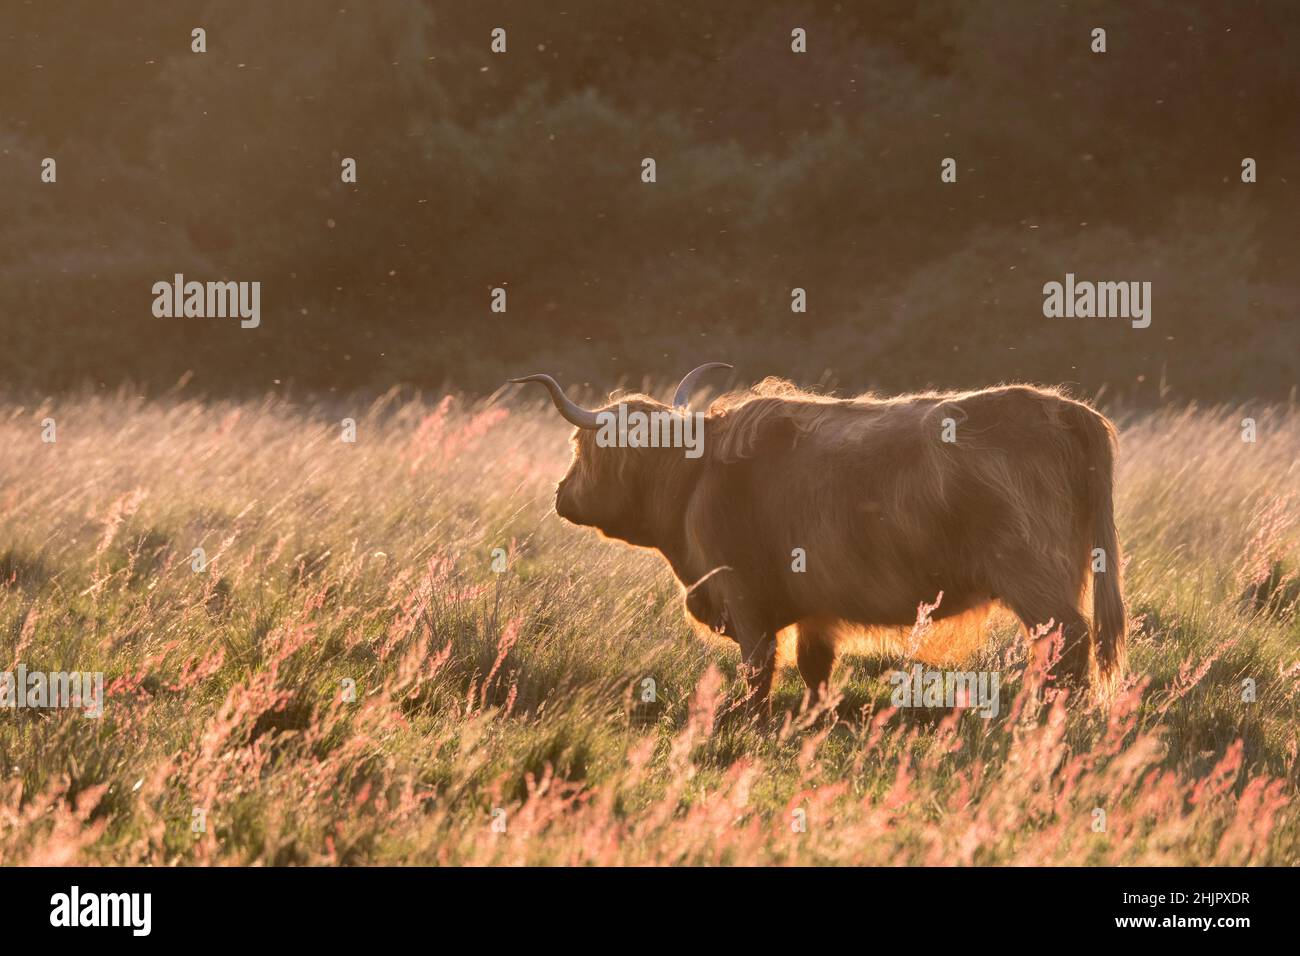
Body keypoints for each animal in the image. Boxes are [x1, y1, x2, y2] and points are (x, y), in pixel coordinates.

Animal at [511, 365, 1126, 711]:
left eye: (580, 446)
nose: (560, 494)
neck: (696, 477)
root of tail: (1069, 412)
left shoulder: (744, 597)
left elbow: (759, 670)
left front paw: (747, 722)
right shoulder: (815, 608)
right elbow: (814, 669)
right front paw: (811, 720)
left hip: (1033, 578)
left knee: (1068, 643)